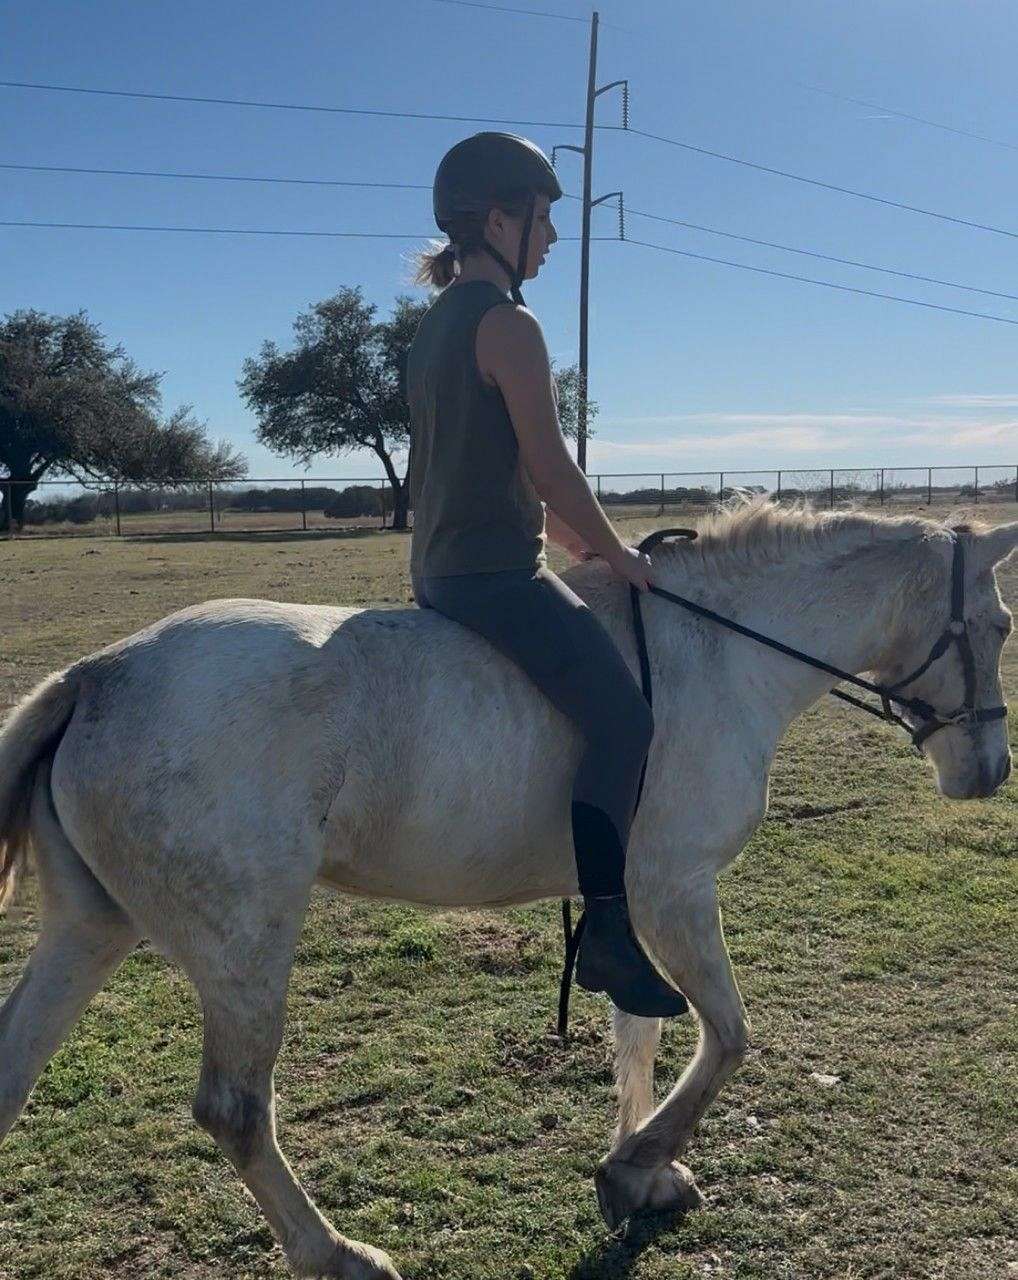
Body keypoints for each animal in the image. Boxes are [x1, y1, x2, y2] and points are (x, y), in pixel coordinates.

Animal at [0, 500, 1014, 1280]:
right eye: (1002, 627)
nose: (991, 772)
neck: (718, 656)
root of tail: (98, 675)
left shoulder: (631, 907)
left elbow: (640, 1037)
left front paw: (643, 1170)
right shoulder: (674, 888)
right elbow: (727, 1037)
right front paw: (633, 1169)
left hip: (92, 929)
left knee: (17, 1068)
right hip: (244, 945)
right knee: (236, 1110)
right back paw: (338, 1254)